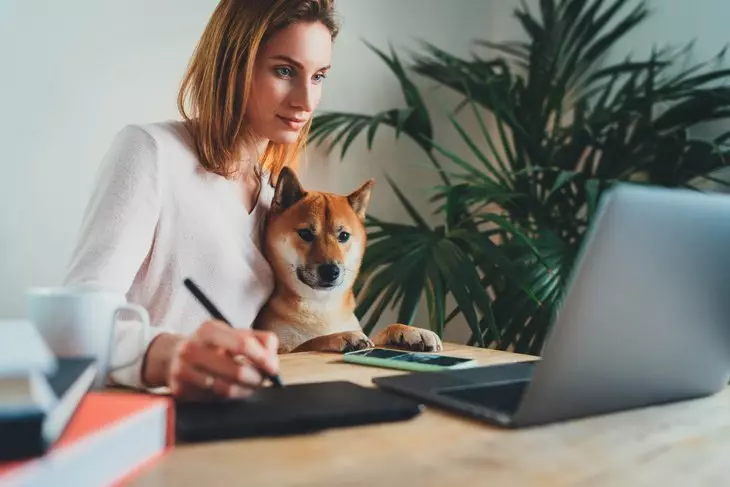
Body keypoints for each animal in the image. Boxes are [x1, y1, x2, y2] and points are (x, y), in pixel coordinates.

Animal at [253, 168, 440, 354]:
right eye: (305, 233)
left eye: (343, 236)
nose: (331, 271)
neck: (322, 306)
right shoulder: (280, 350)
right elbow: (311, 342)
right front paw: (342, 336)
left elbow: (384, 331)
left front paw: (411, 332)